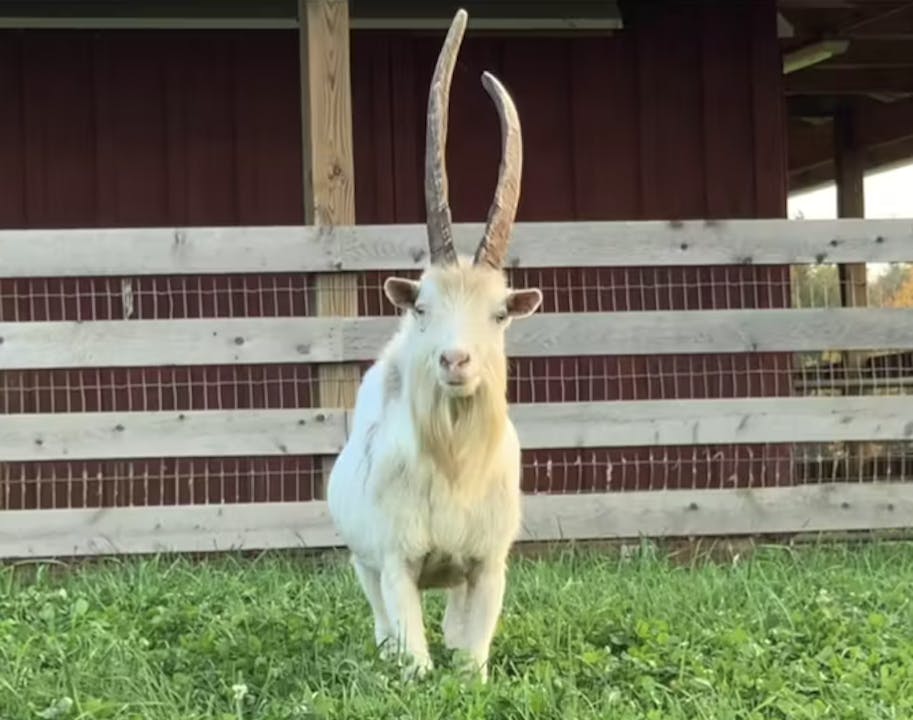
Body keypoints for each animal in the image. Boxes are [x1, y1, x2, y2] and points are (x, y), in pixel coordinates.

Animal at [326, 7, 542, 682]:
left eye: (499, 314)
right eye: (422, 306)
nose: (455, 359)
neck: (454, 462)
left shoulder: (488, 565)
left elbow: (472, 657)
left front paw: (465, 670)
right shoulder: (395, 561)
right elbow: (414, 660)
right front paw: (412, 669)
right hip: (363, 562)